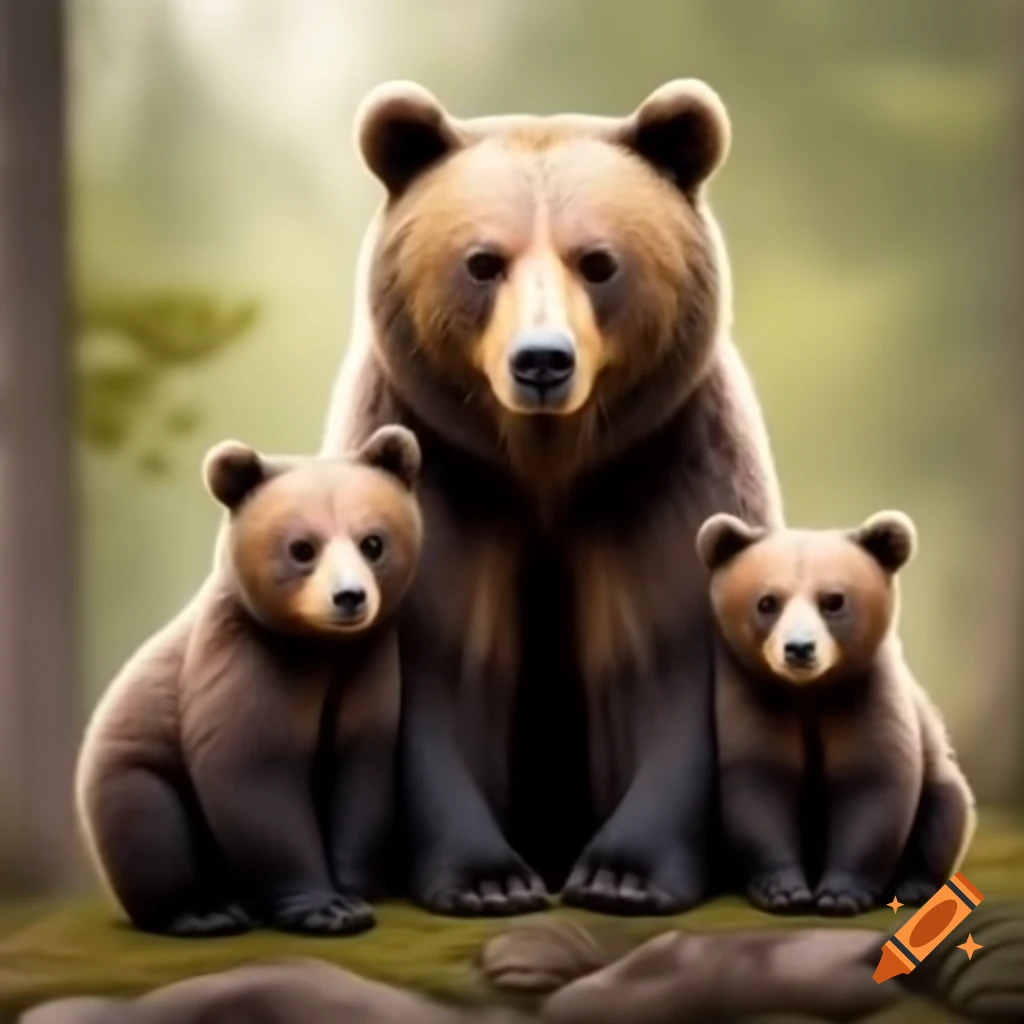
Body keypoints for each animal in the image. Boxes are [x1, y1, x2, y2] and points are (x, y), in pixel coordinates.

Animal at [75, 425, 423, 937]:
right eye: (302, 548)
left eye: (373, 543)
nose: (349, 597)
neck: (318, 645)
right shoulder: (248, 657)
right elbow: (253, 771)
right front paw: (329, 908)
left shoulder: (365, 662)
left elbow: (361, 765)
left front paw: (357, 887)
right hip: (131, 767)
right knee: (150, 829)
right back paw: (205, 911)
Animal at [319, 78, 785, 918]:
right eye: (482, 263)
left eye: (598, 262)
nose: (541, 361)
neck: (547, 462)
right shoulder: (441, 474)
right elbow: (434, 664)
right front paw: (489, 883)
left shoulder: (664, 468)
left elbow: (672, 653)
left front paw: (623, 877)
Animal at [695, 509, 976, 916]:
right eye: (767, 602)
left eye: (833, 600)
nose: (799, 649)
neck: (809, 691)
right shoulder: (757, 697)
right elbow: (760, 783)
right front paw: (783, 891)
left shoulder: (863, 694)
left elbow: (871, 783)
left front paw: (842, 894)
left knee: (947, 809)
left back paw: (916, 886)